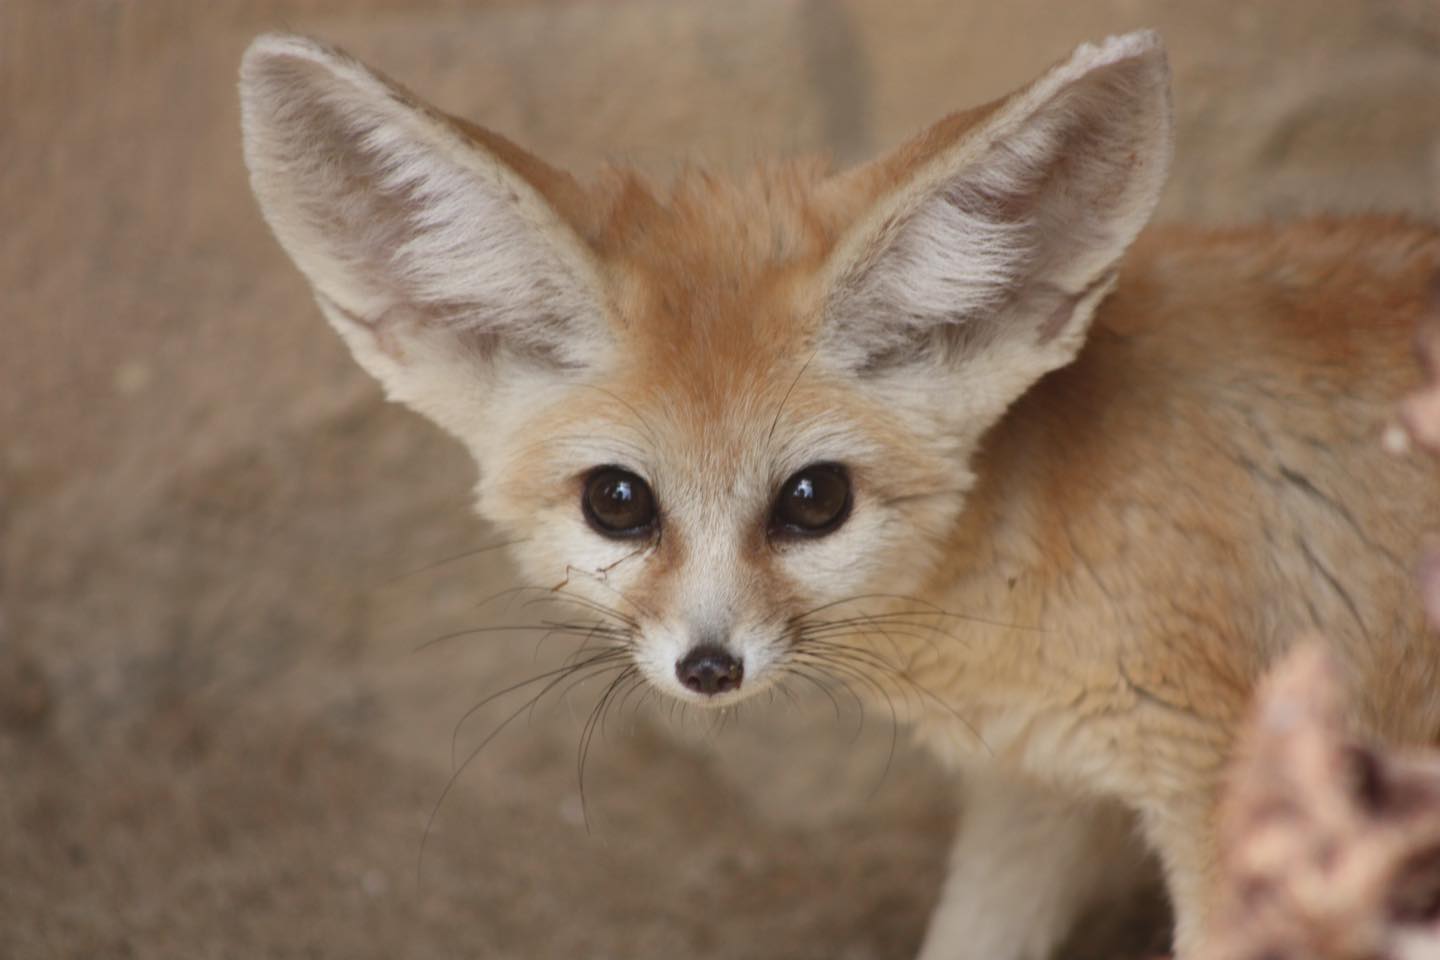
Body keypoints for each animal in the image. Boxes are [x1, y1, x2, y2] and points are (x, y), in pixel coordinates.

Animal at [239, 29, 1440, 959]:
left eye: (815, 499)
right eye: (617, 501)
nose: (709, 668)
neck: (1056, 514)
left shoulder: (1241, 801)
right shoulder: (1039, 788)